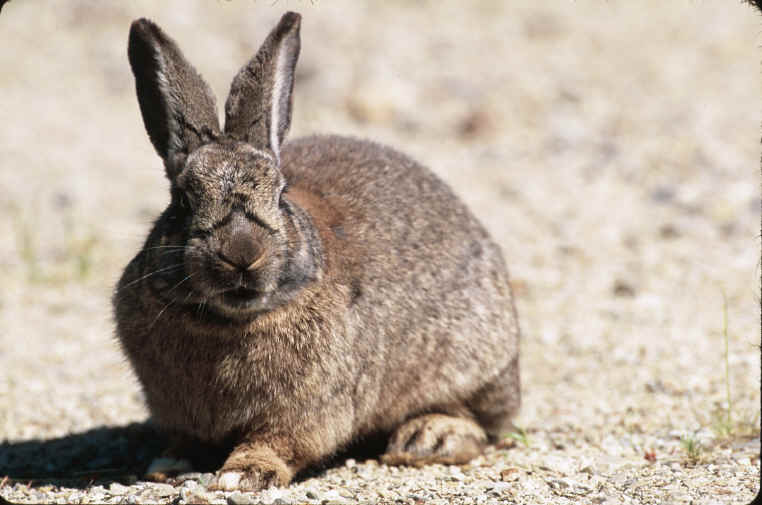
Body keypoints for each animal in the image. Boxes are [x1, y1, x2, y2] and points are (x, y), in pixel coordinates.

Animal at [114, 11, 520, 491]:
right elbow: (185, 440)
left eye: (280, 193)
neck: (226, 321)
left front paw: (243, 474)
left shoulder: (306, 412)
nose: (242, 254)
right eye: (182, 200)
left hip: (474, 361)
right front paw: (170, 463)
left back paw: (428, 439)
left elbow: (278, 442)